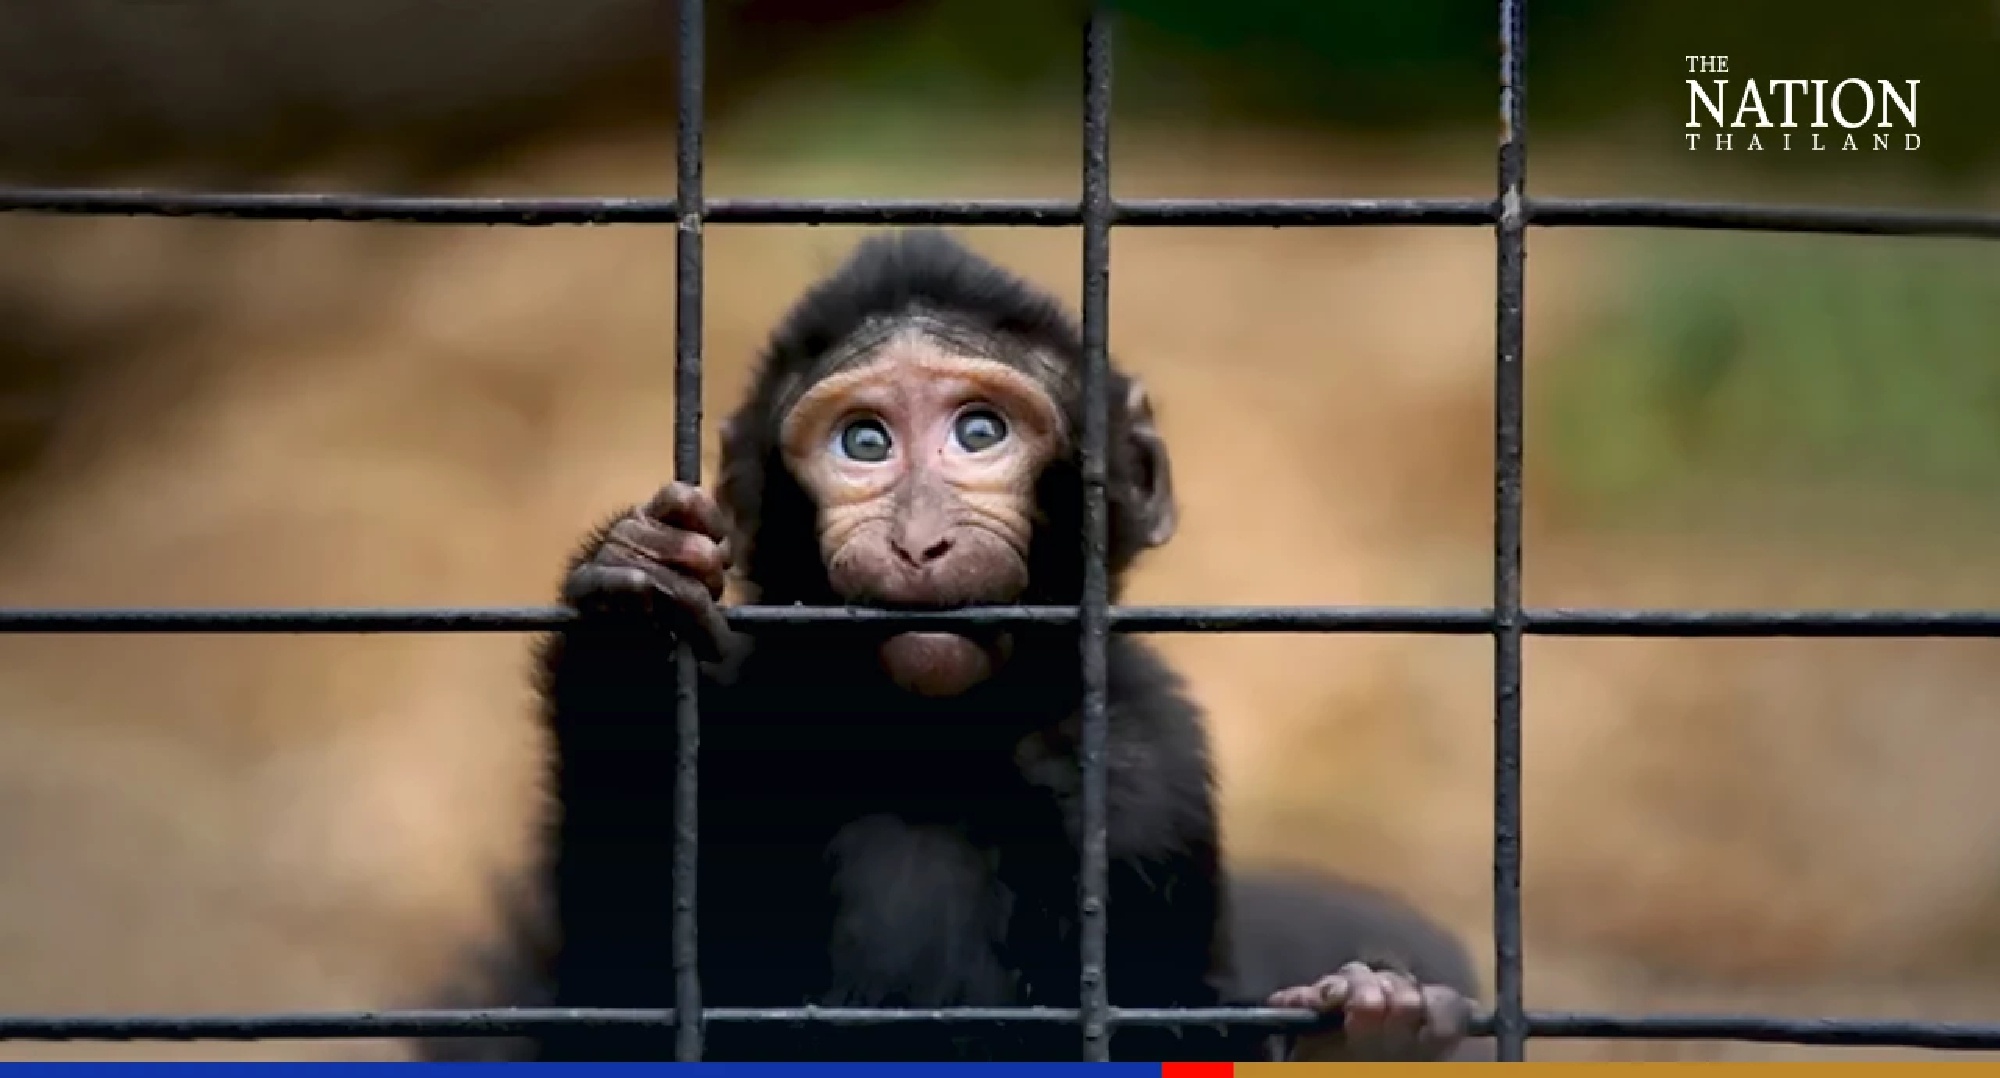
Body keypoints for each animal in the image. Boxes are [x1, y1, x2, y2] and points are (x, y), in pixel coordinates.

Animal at [436, 230, 1478, 1062]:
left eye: (980, 431)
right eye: (864, 442)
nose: (920, 540)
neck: (932, 748)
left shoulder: (1149, 774)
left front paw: (1375, 1031)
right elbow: (609, 994)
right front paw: (635, 598)